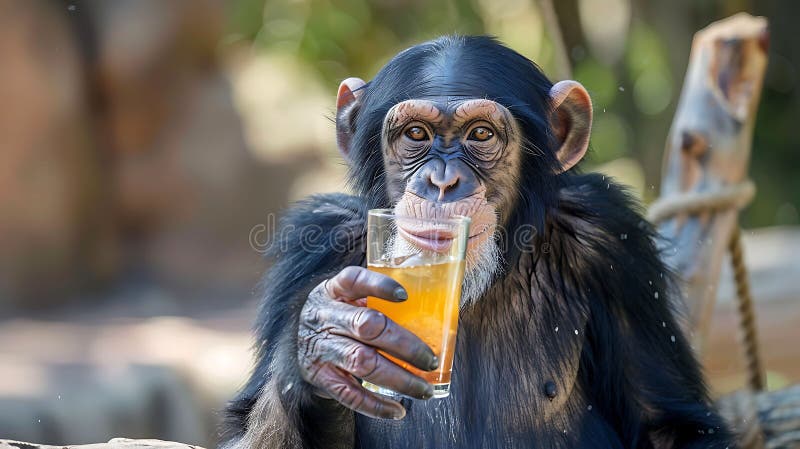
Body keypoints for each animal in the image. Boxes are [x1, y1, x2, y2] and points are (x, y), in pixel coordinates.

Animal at [221, 35, 734, 449]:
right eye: (416, 134)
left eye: (481, 134)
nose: (442, 182)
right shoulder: (314, 248)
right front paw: (322, 346)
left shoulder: (615, 243)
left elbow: (668, 427)